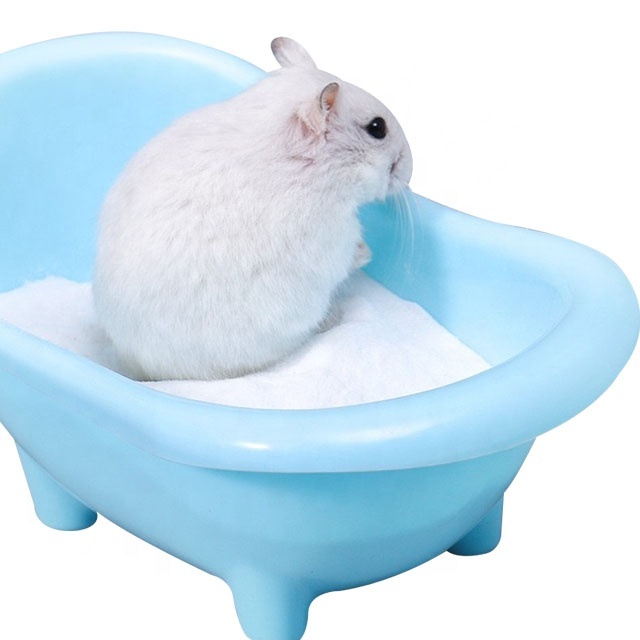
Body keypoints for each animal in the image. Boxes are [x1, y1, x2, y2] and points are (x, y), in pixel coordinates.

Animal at [92, 37, 413, 381]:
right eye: (377, 127)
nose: (410, 170)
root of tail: (134, 366)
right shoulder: (334, 238)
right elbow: (349, 256)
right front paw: (368, 253)